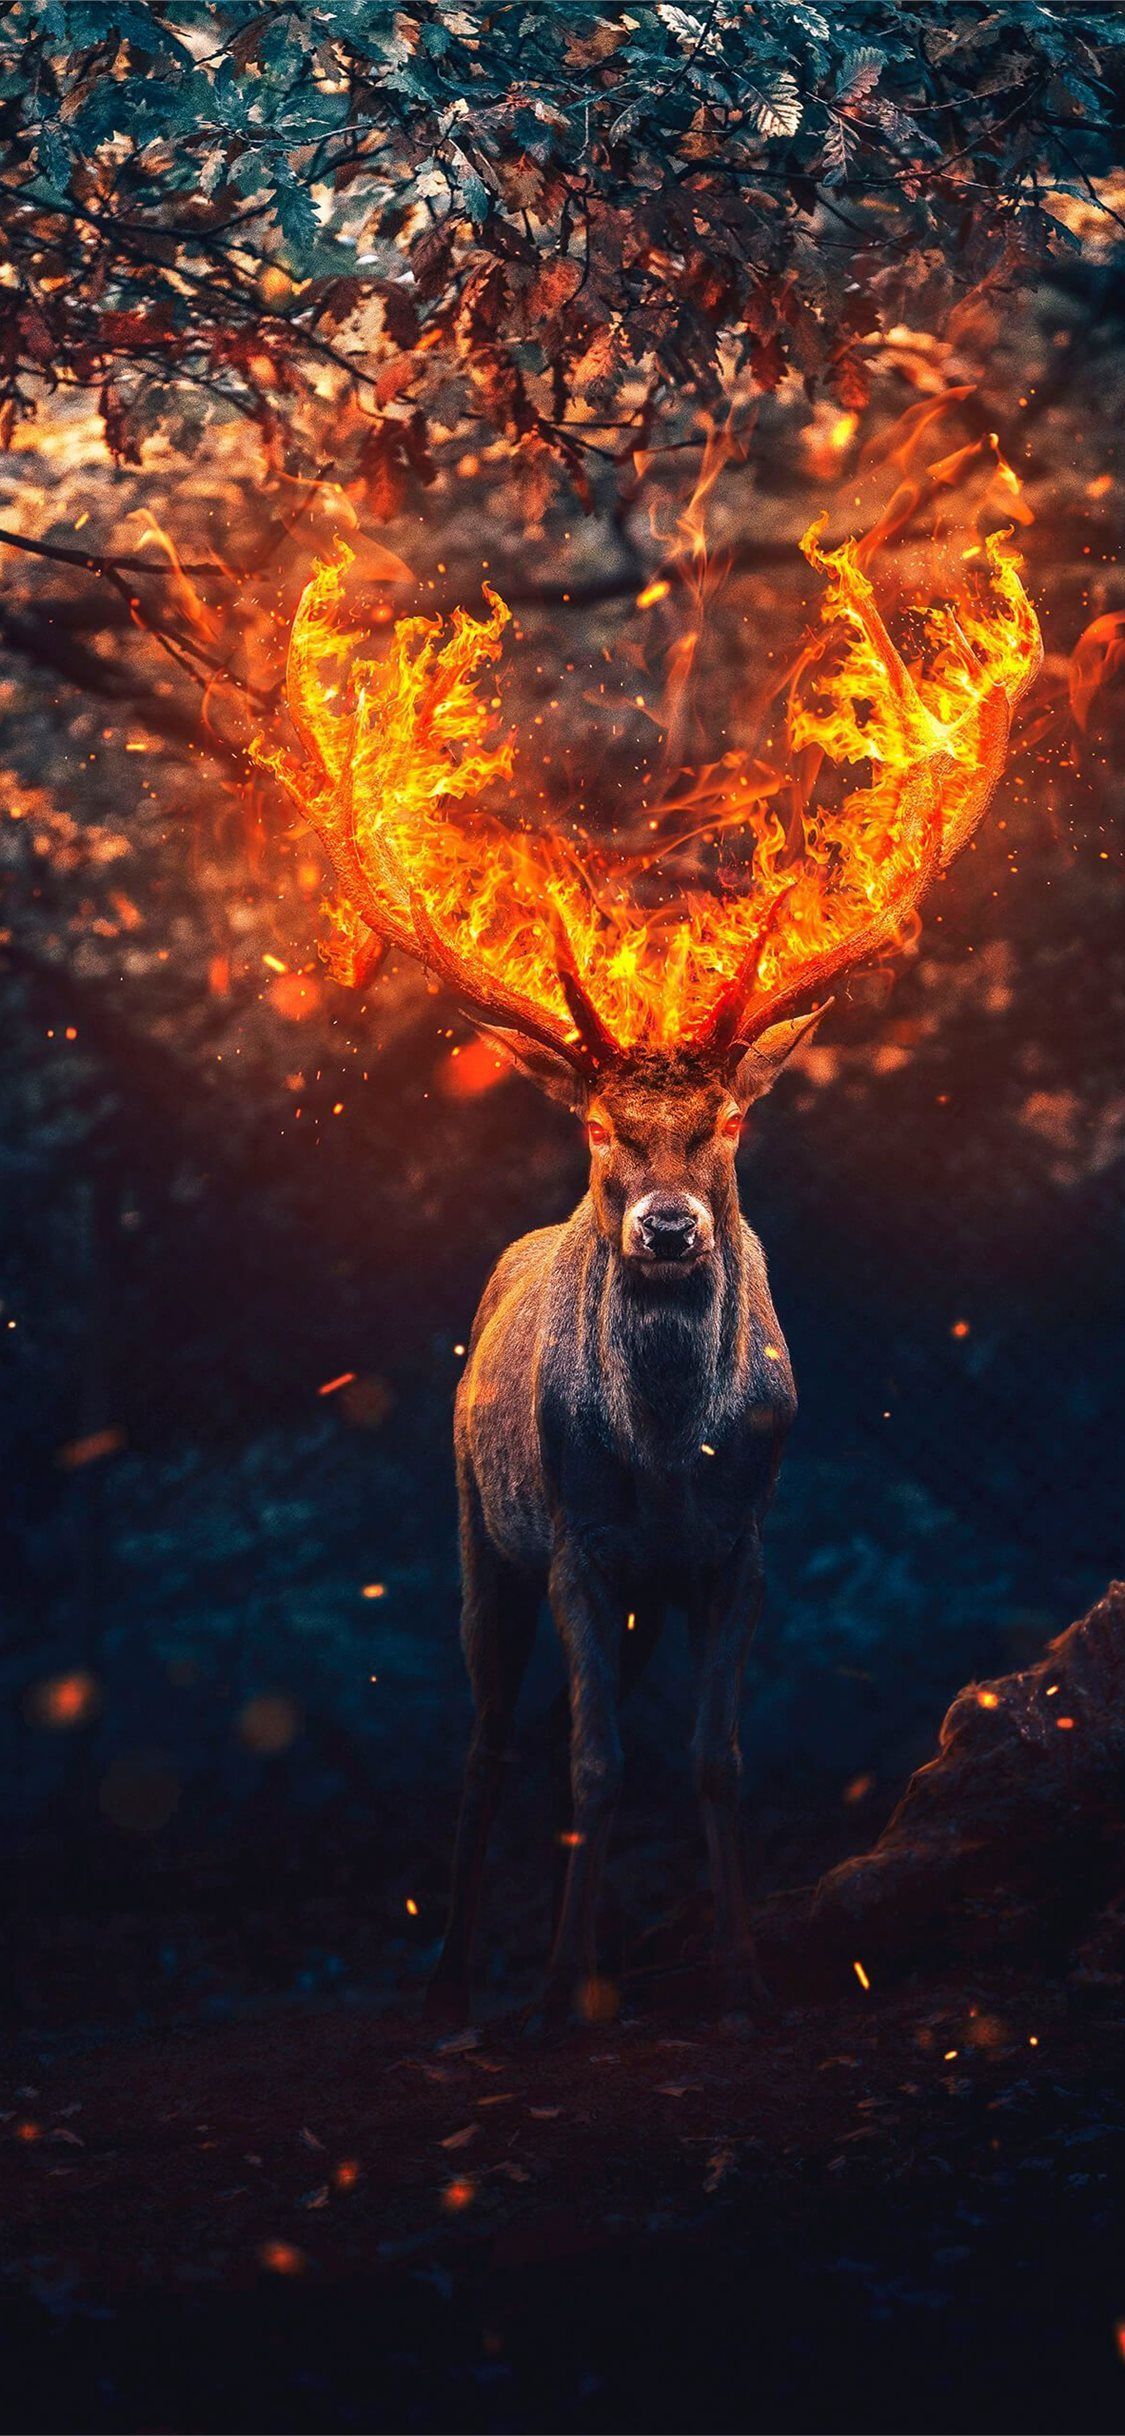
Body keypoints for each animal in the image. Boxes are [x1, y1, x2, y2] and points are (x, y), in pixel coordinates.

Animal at [260, 515, 1041, 2030]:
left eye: (728, 1119)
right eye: (597, 1127)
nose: (670, 1228)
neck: (675, 1449)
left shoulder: (742, 1547)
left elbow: (714, 1760)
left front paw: (740, 1972)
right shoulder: (578, 1538)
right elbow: (591, 1762)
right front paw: (565, 1988)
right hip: (477, 1529)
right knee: (495, 1739)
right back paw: (459, 1977)